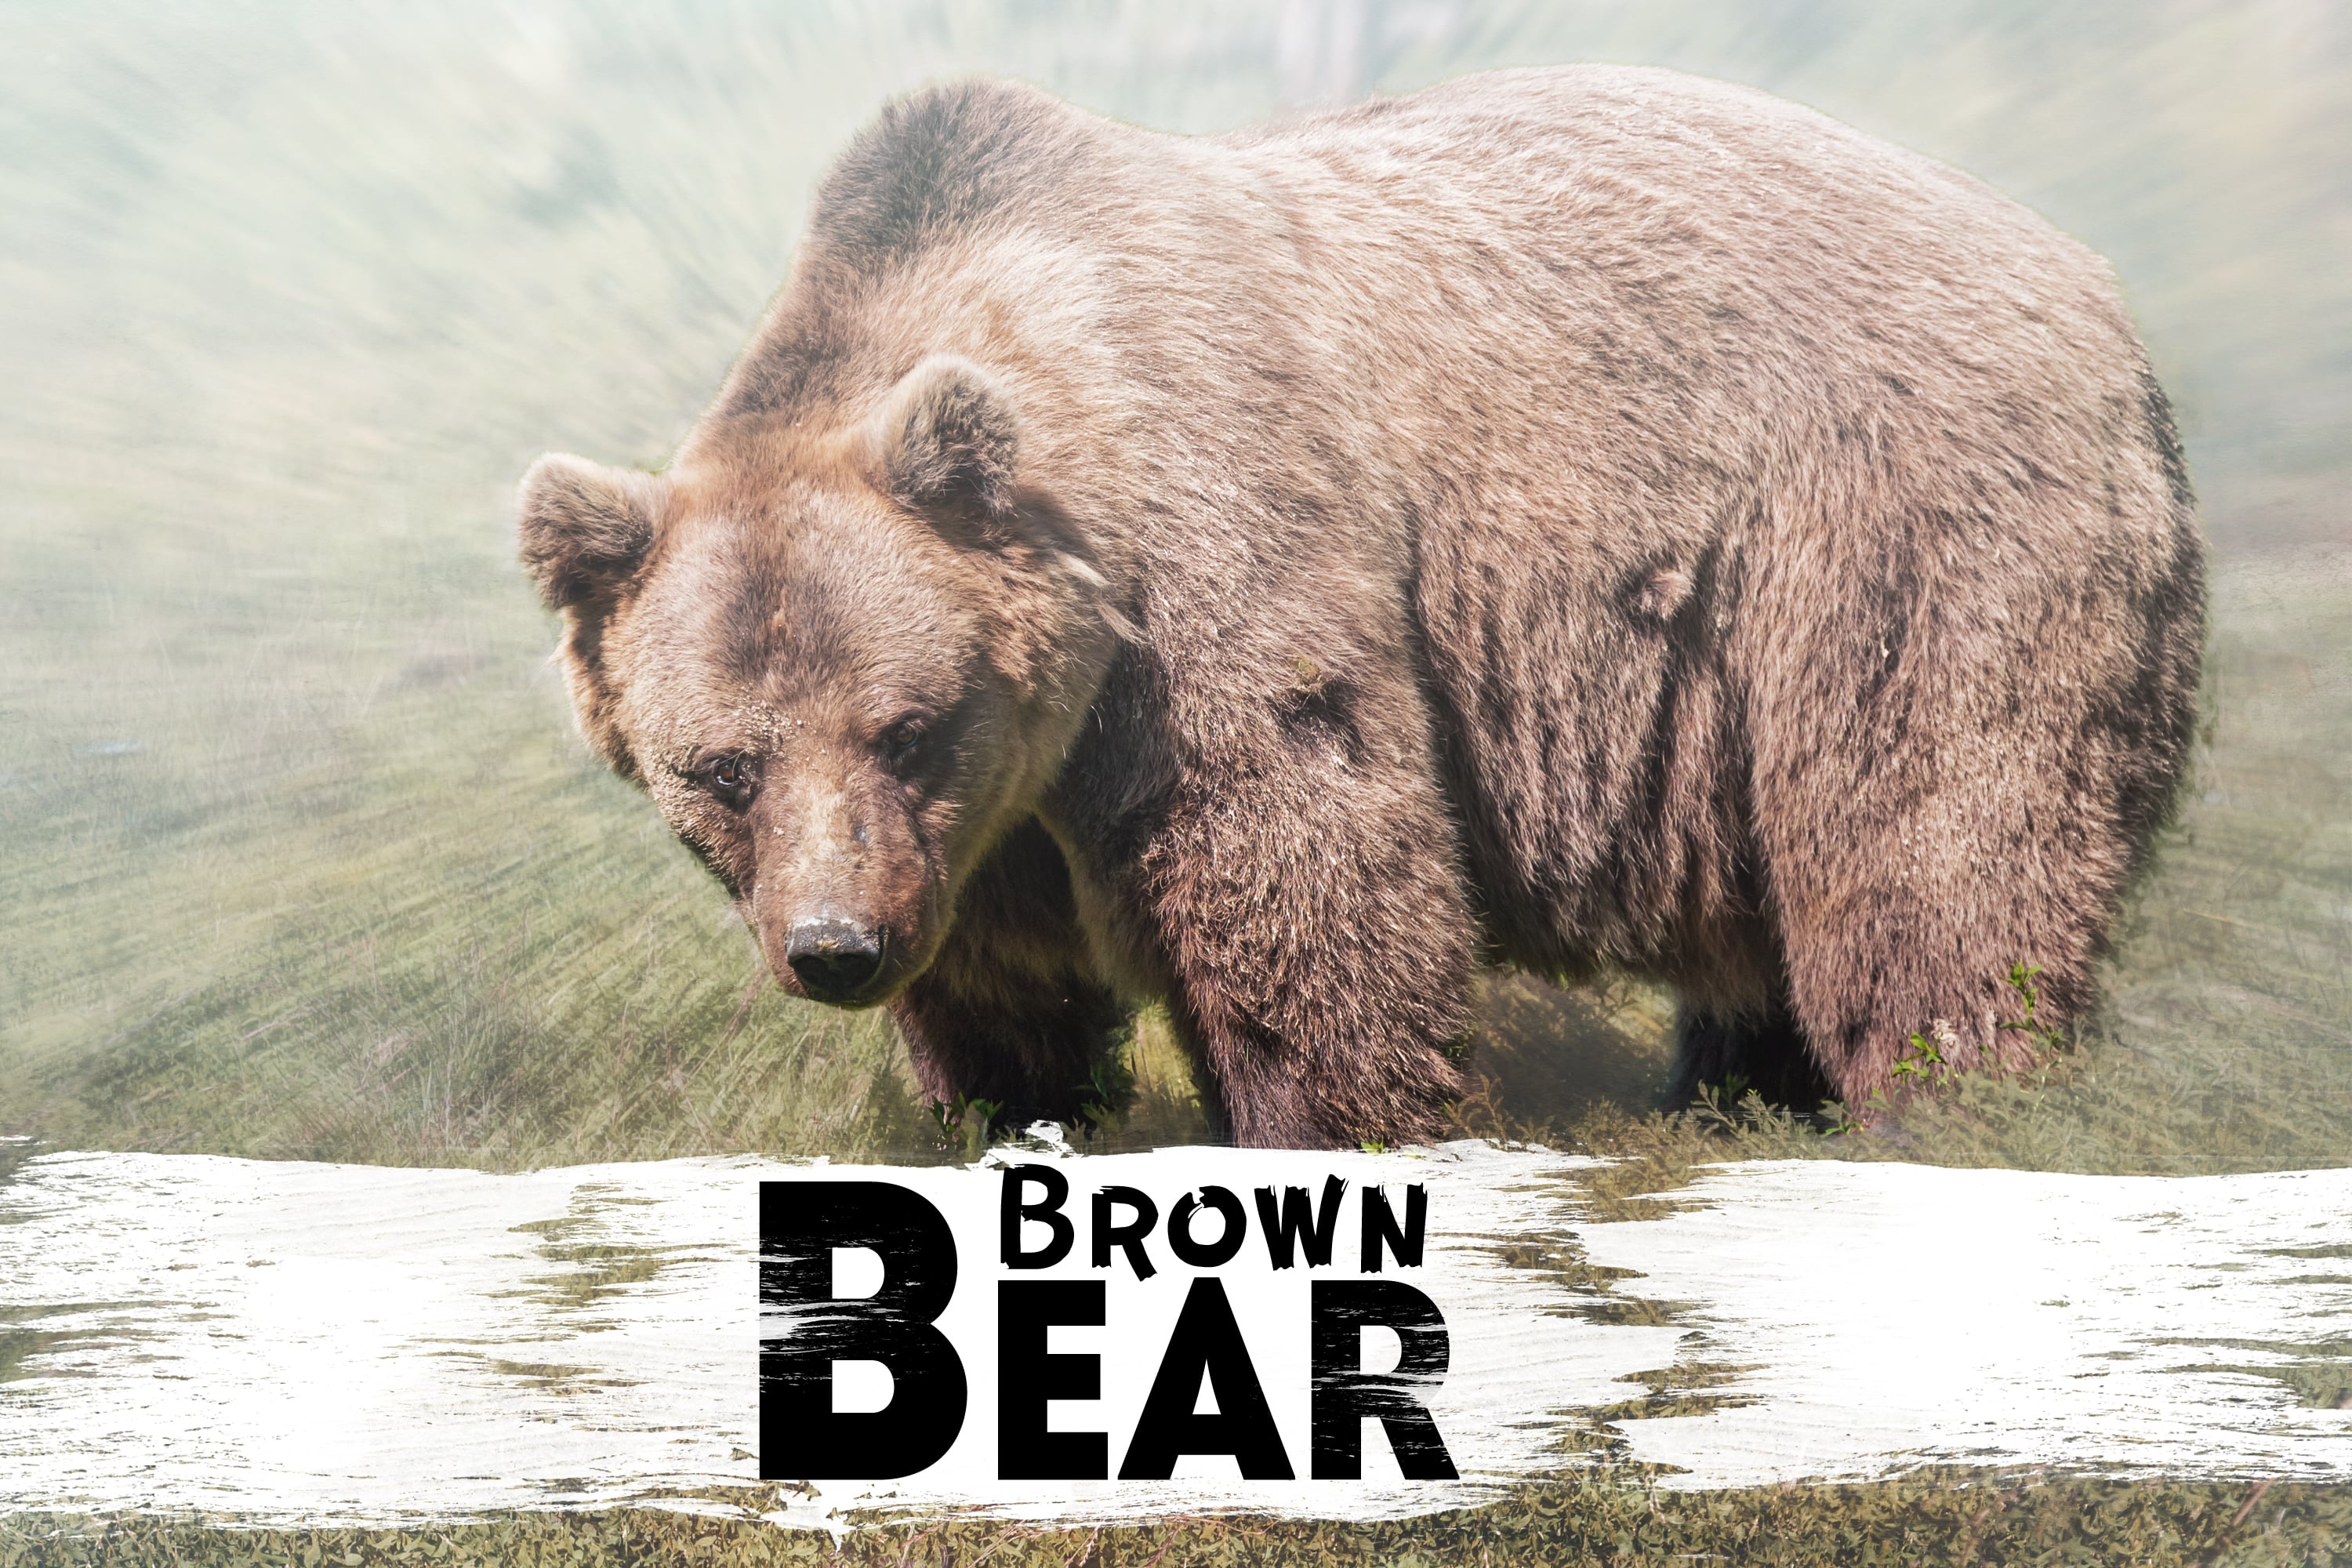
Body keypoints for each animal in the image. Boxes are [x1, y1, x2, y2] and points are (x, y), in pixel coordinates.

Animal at [516, 66, 2204, 1148]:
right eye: (720, 767)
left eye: (906, 724)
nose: (834, 948)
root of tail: (2100, 290)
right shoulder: (987, 815)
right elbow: (1002, 983)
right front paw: (1000, 1108)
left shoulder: (1201, 571)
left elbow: (1302, 869)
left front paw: (1320, 1121)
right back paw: (1740, 1090)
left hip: (1886, 542)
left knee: (1935, 859)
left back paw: (1952, 1102)